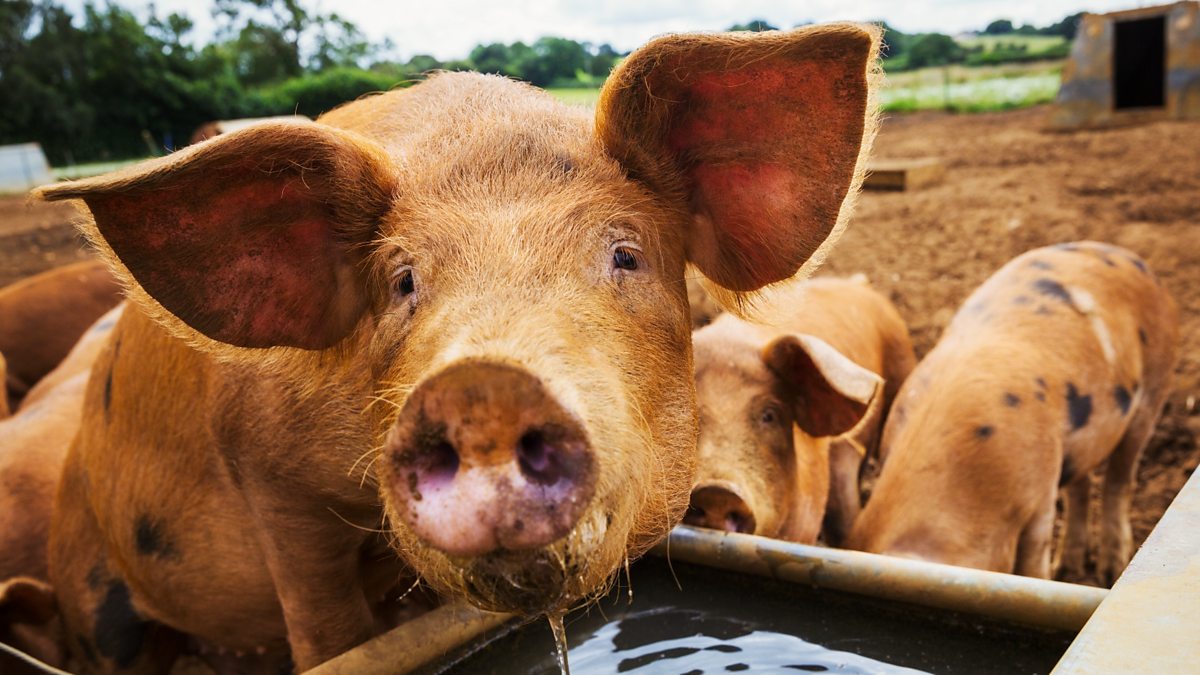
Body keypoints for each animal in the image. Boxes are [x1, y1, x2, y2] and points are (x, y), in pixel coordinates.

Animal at [33, 25, 881, 672]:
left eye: (626, 255)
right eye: (402, 280)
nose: (486, 386)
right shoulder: (266, 476)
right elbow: (330, 633)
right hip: (92, 587)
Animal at [848, 242, 1178, 584]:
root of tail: (1132, 259)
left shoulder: (1042, 496)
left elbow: (1032, 564)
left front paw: (1043, 580)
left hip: (1155, 386)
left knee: (1119, 478)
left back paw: (1109, 573)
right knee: (1081, 484)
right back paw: (1068, 570)